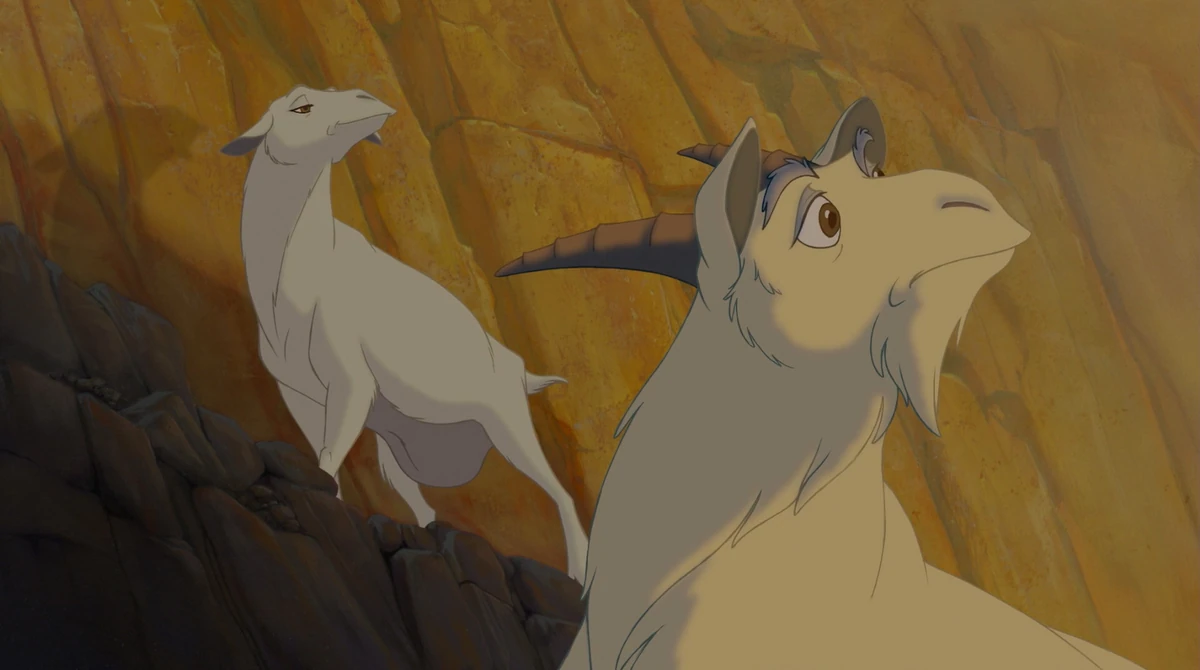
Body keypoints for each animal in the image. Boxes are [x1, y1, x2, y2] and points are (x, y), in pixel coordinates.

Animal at [219, 85, 589, 581]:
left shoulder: (350, 382)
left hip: (508, 423)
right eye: (302, 106)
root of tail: (521, 370)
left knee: (561, 495)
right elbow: (325, 462)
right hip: (396, 445)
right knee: (423, 502)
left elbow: (329, 455)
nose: (368, 97)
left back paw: (577, 575)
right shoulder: (299, 394)